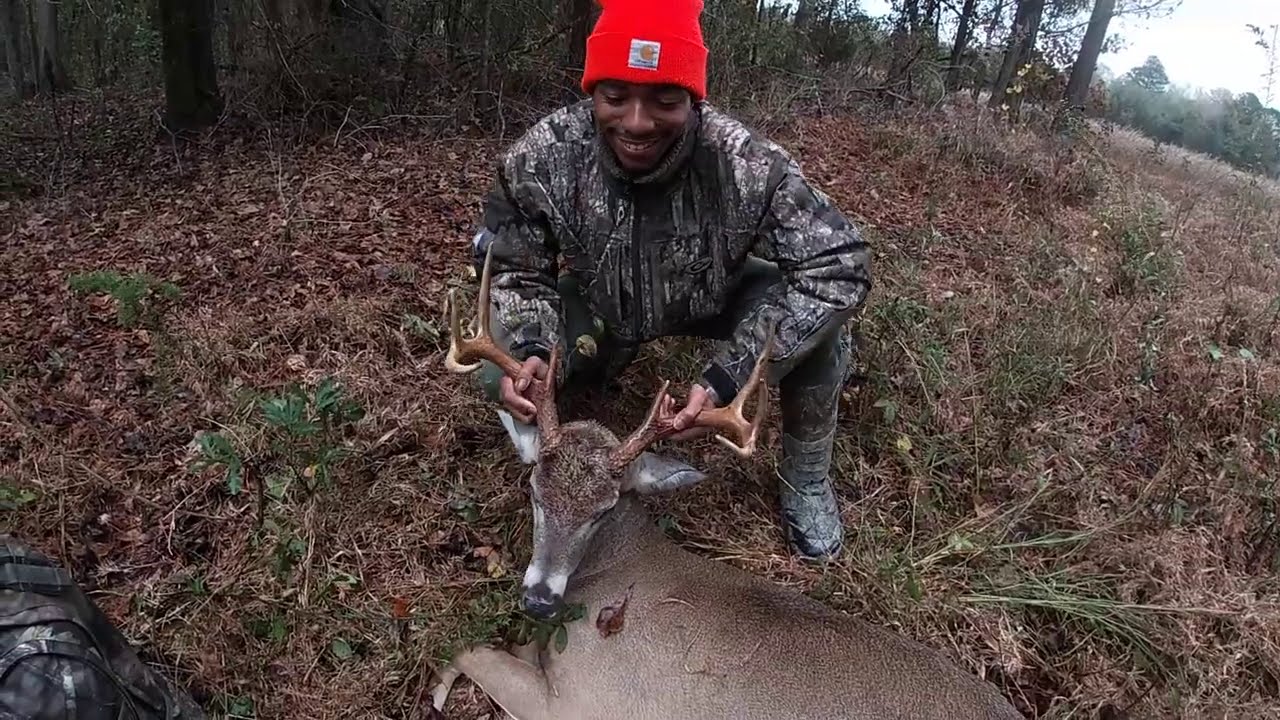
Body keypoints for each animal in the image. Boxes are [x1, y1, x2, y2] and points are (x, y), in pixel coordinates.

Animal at [428, 248, 1024, 720]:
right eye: (534, 490)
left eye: (605, 508)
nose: (539, 599)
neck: (612, 573)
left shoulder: (582, 701)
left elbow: (466, 646)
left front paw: (437, 689)